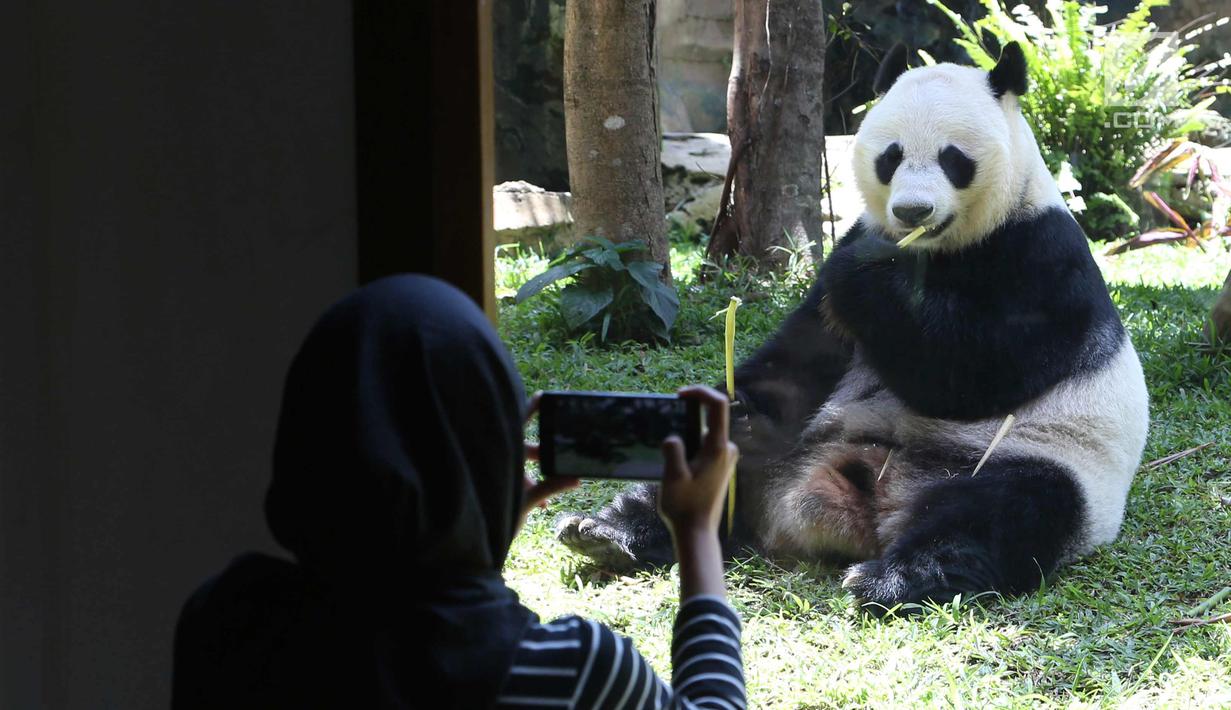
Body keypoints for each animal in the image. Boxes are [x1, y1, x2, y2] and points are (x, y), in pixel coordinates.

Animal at [556, 42, 1150, 610]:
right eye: (892, 157)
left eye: (953, 159)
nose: (912, 212)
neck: (935, 250)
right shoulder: (858, 240)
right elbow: (803, 358)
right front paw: (744, 406)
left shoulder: (1042, 256)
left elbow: (977, 371)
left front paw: (869, 280)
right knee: (700, 468)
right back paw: (609, 532)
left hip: (1035, 462)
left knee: (1002, 512)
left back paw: (894, 579)